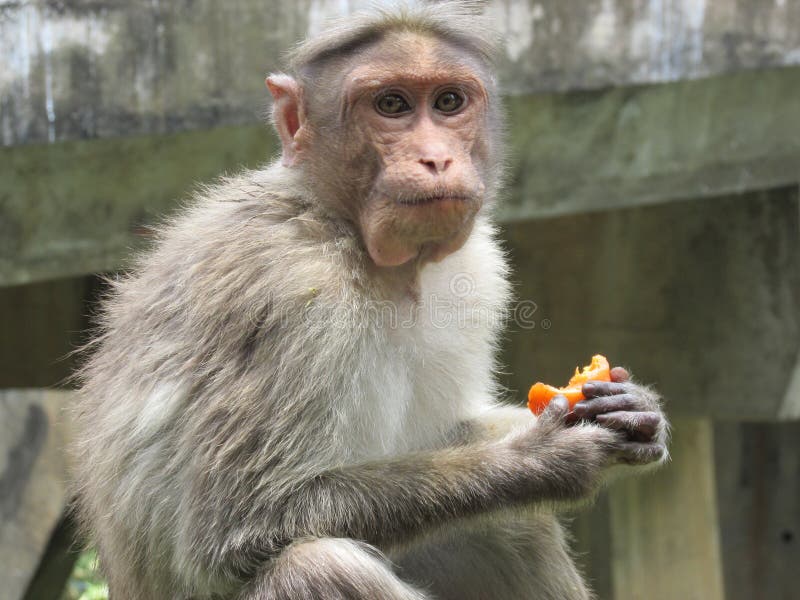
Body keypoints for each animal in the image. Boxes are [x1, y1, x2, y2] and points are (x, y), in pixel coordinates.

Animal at [70, 3, 669, 599]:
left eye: (448, 102)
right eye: (391, 106)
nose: (436, 159)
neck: (354, 236)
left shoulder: (477, 270)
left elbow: (453, 433)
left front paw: (634, 406)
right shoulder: (290, 294)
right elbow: (234, 528)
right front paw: (544, 460)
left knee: (509, 526)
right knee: (318, 568)